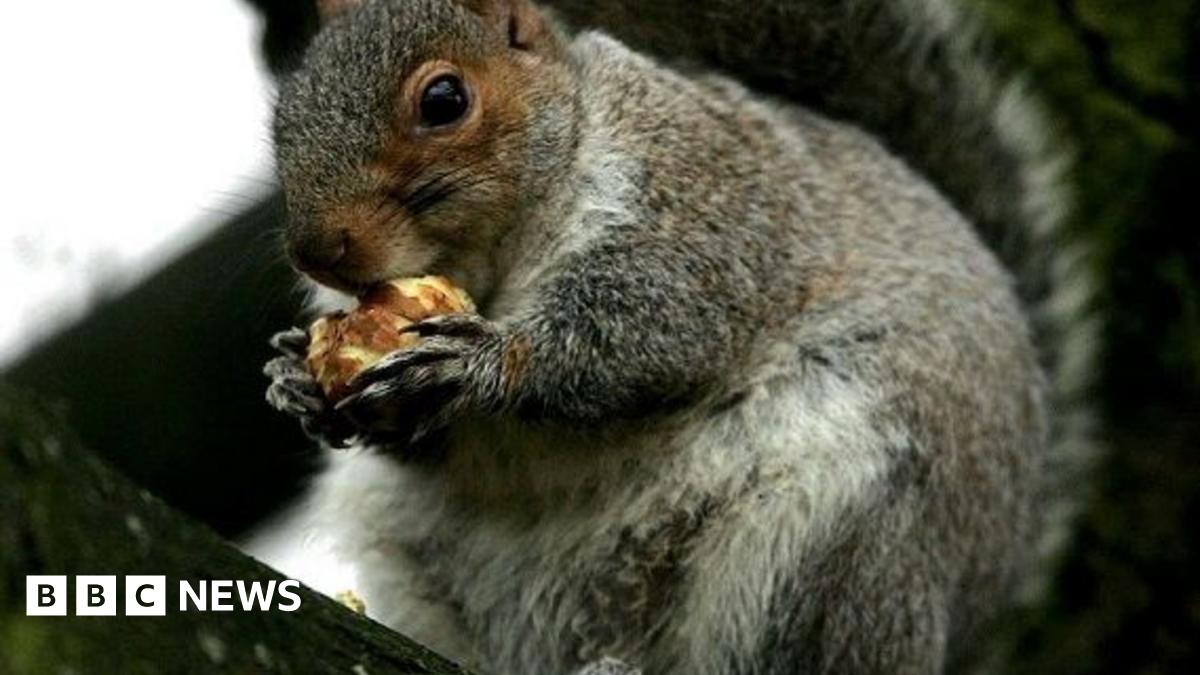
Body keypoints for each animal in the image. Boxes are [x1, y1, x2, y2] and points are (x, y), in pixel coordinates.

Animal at [258, 0, 1097, 673]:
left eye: (444, 99)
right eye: (284, 119)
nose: (317, 251)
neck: (498, 257)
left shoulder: (701, 202)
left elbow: (649, 331)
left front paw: (477, 363)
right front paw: (297, 383)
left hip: (831, 544)